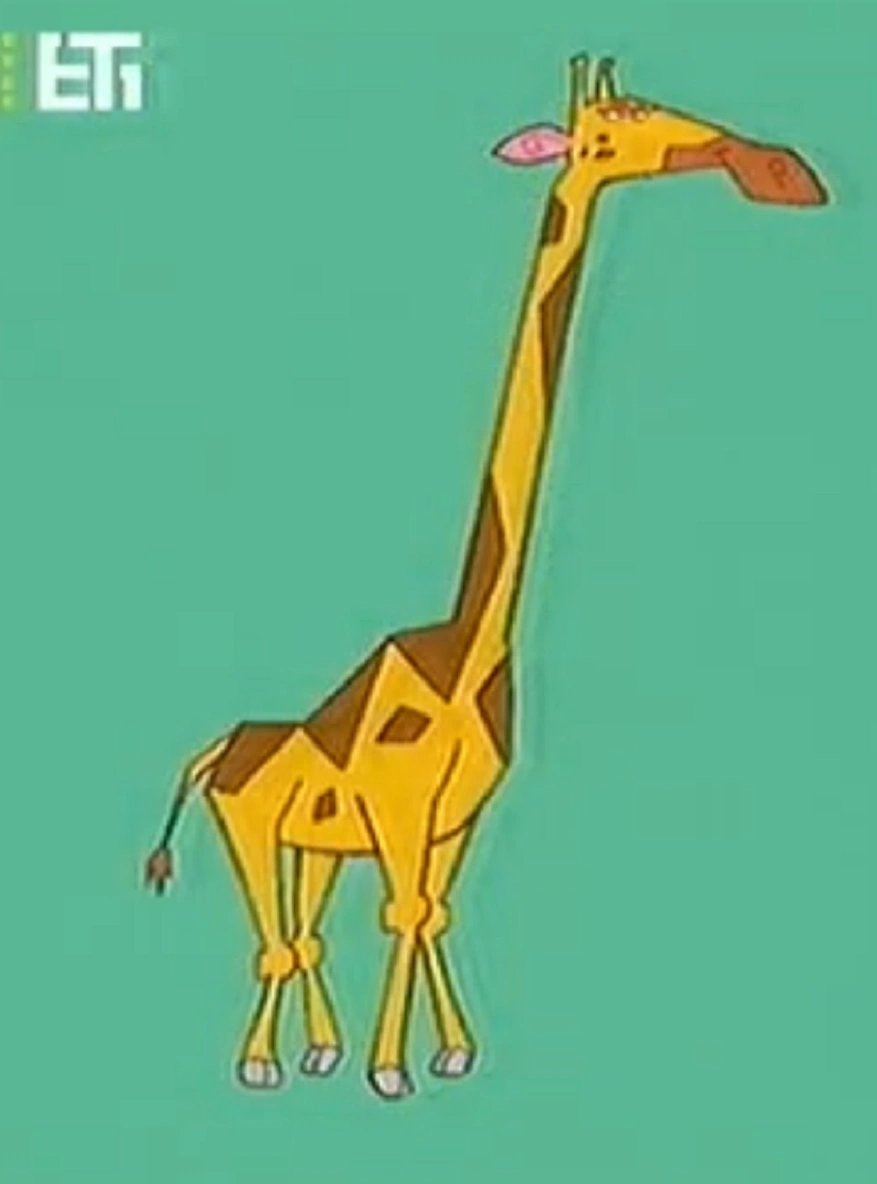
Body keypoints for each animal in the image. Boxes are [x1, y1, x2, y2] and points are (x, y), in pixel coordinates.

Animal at [145, 54, 828, 1101]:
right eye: (612, 129)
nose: (777, 169)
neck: (471, 644)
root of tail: (219, 745)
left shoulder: (456, 818)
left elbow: (429, 914)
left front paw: (446, 1053)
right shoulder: (398, 809)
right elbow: (404, 915)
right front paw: (391, 1072)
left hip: (315, 841)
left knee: (303, 931)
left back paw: (315, 1049)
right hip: (249, 827)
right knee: (273, 935)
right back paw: (262, 1063)